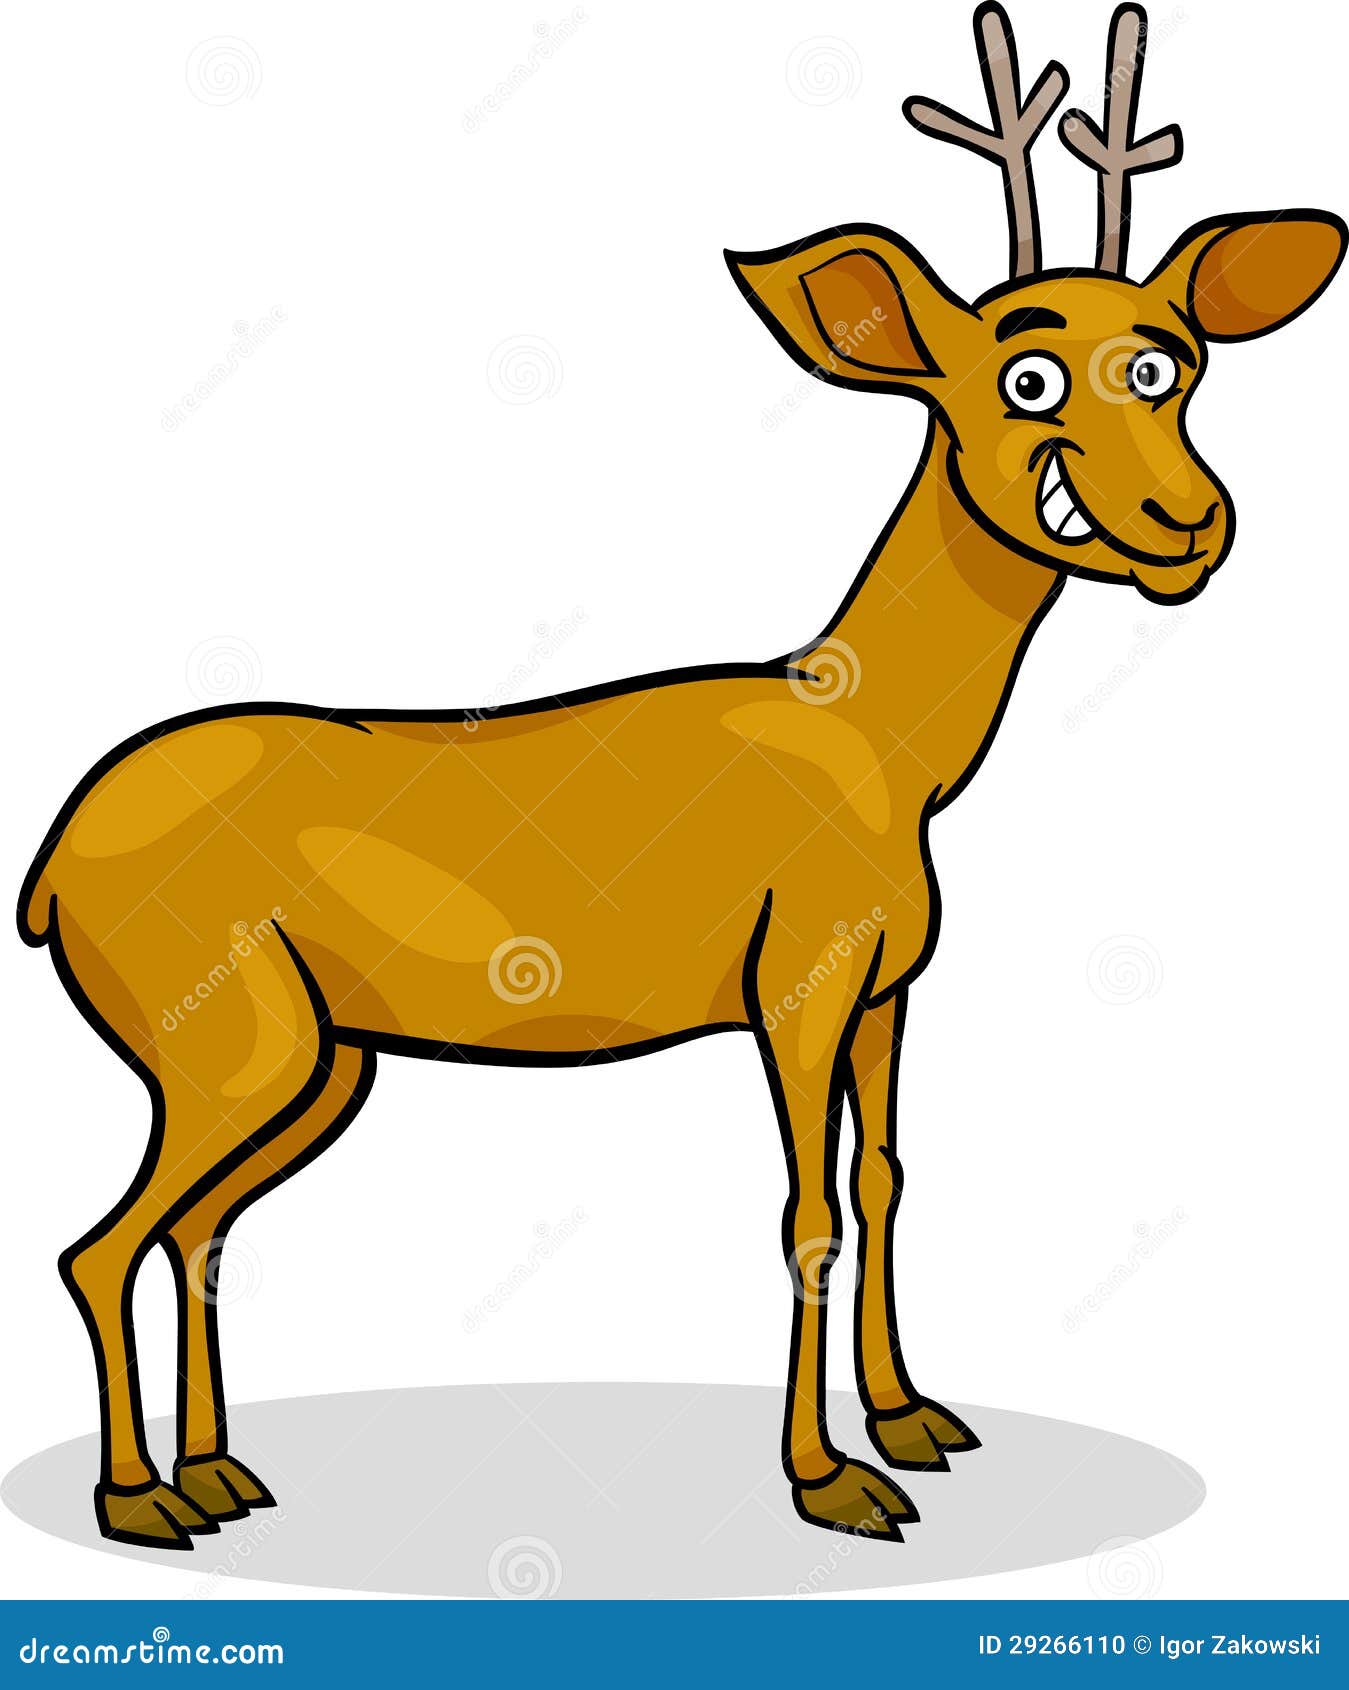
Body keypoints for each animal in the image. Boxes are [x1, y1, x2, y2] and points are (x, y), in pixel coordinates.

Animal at [16, 3, 1345, 1549]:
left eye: (1169, 360)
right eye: (1023, 375)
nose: (1188, 522)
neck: (880, 743)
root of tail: (46, 870)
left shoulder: (887, 986)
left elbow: (885, 1180)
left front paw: (914, 1418)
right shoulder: (795, 982)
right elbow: (805, 1209)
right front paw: (833, 1480)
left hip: (322, 1061)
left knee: (198, 1227)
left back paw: (221, 1474)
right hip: (227, 1044)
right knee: (101, 1242)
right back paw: (138, 1499)